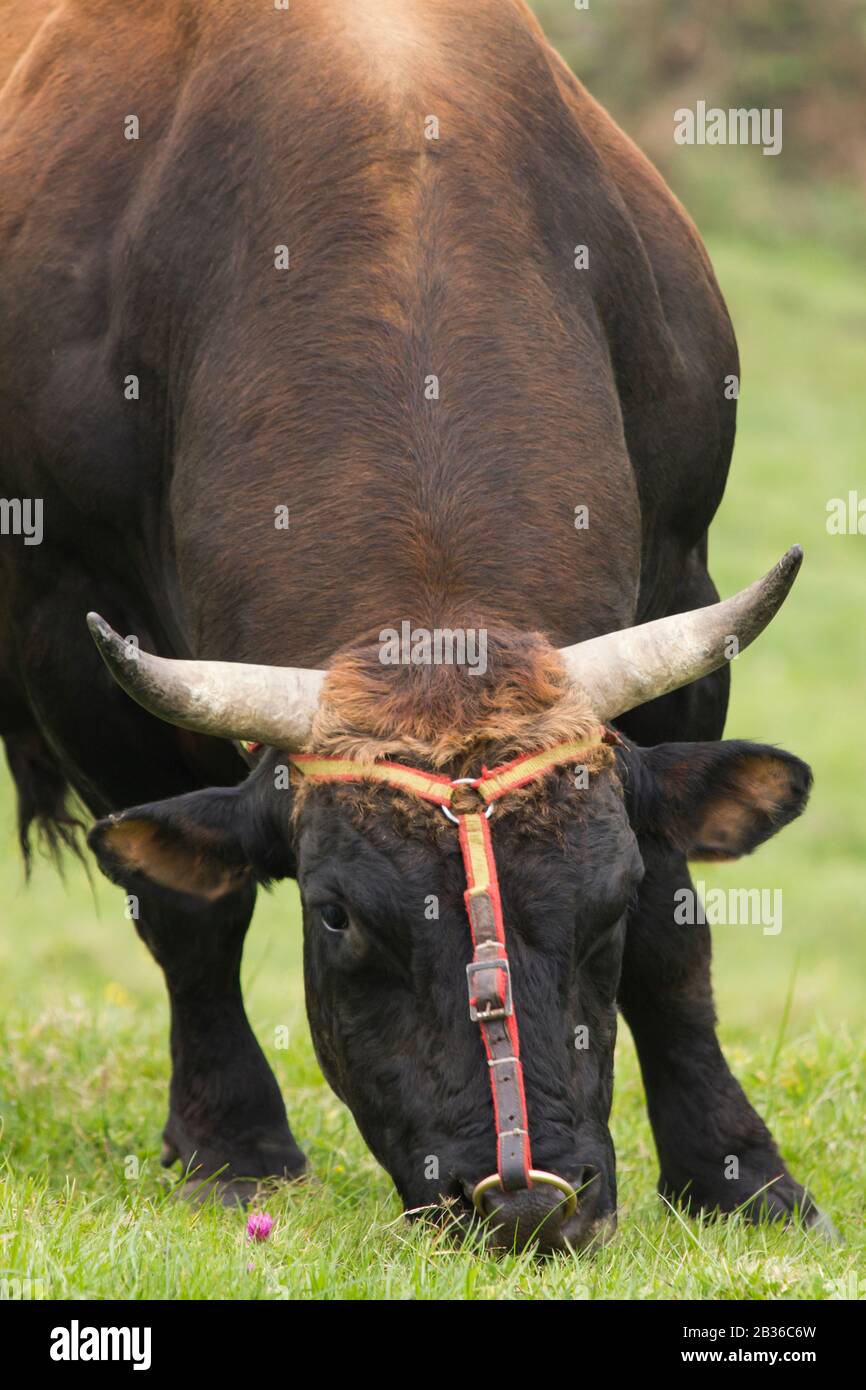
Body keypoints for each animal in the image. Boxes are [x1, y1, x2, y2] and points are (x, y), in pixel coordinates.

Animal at [0, 0, 835, 1253]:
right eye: (339, 916)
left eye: (606, 894)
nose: (526, 1196)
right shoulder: (72, 635)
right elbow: (191, 914)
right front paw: (235, 1149)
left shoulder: (681, 583)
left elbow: (677, 933)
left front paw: (739, 1171)